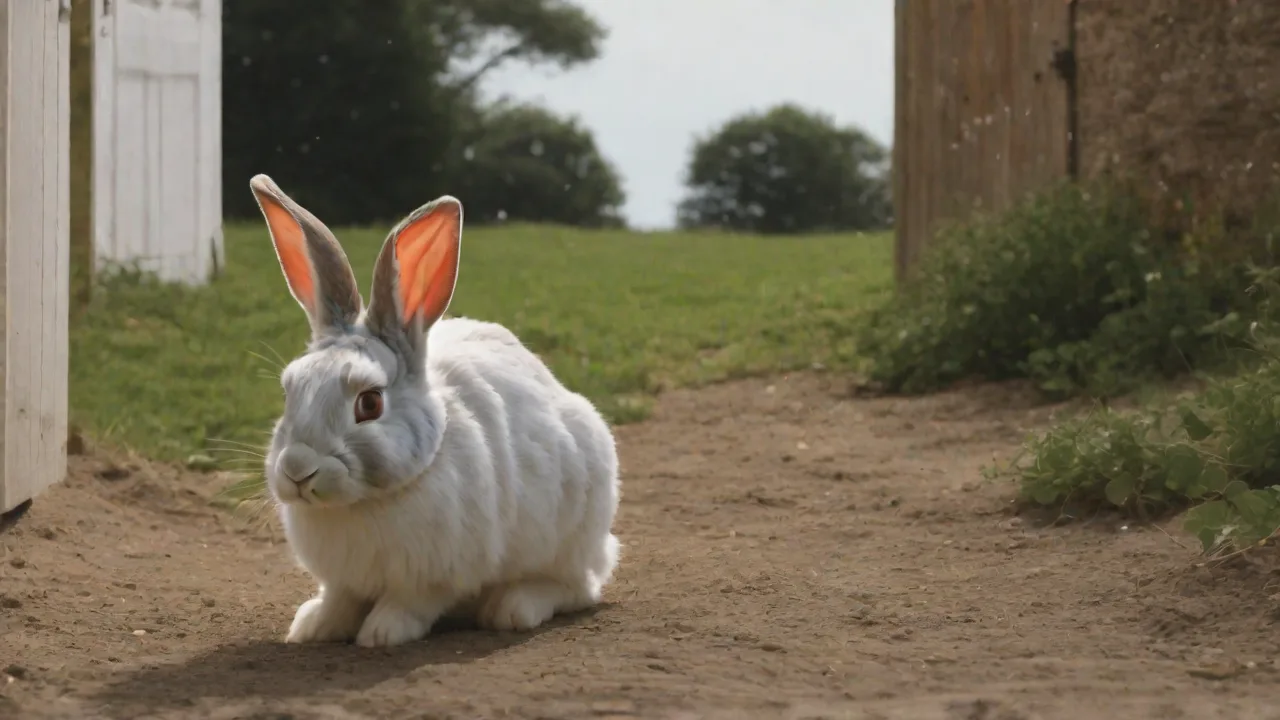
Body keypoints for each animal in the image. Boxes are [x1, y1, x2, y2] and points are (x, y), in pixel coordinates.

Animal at [247, 174, 622, 648]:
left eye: (370, 402)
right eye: (288, 390)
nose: (297, 469)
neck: (365, 502)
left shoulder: (436, 574)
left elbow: (412, 601)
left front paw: (382, 632)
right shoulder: (343, 580)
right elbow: (340, 598)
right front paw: (312, 627)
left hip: (570, 537)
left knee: (577, 586)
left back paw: (514, 607)